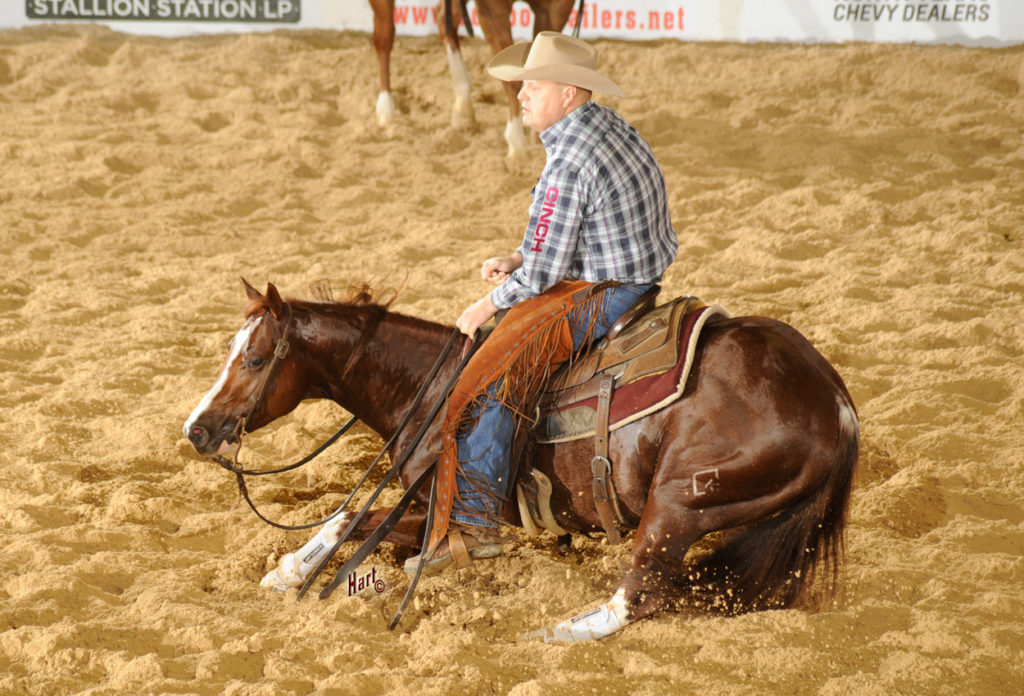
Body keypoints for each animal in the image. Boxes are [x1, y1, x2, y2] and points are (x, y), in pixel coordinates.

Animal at [183, 280, 859, 641]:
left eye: (255, 358)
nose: (198, 429)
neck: (434, 392)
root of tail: (834, 400)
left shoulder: (451, 513)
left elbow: (351, 520)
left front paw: (291, 573)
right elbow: (342, 520)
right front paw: (286, 574)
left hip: (678, 502)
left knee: (635, 596)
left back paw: (552, 634)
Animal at [368, 0, 580, 156]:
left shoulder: (555, 7)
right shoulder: (491, 8)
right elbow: (513, 80)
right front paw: (516, 143)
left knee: (443, 17)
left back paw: (463, 106)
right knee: (384, 35)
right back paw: (386, 109)